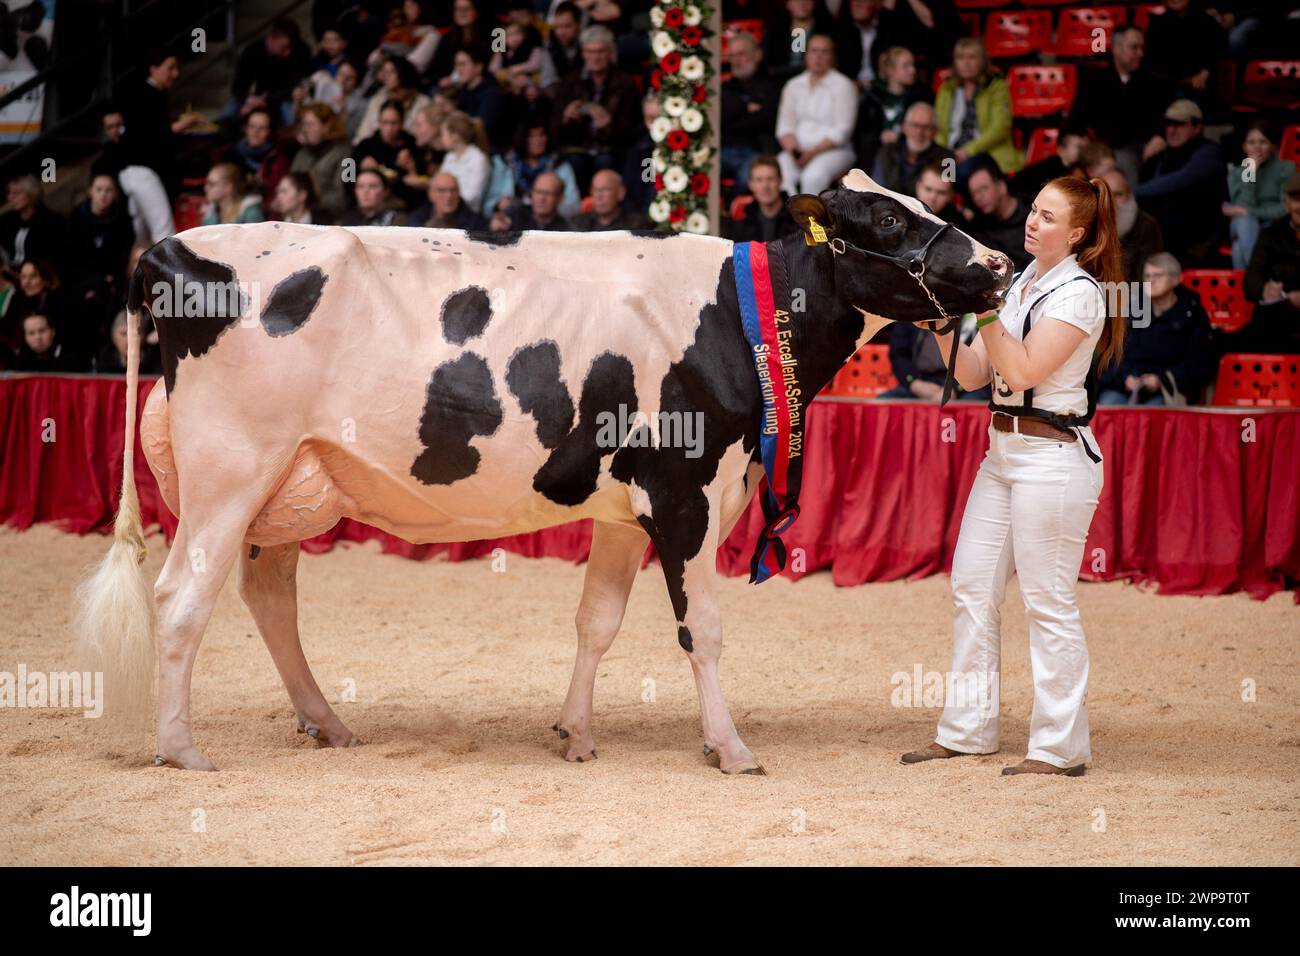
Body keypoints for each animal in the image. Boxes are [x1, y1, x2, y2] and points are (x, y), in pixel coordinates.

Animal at [77, 169, 1011, 775]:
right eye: (885, 222)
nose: (1000, 264)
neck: (742, 312)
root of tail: (170, 246)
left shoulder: (624, 507)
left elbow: (596, 621)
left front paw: (577, 734)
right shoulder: (685, 493)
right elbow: (701, 630)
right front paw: (732, 747)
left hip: (291, 481)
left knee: (268, 598)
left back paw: (327, 724)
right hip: (230, 469)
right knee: (181, 599)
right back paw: (181, 749)